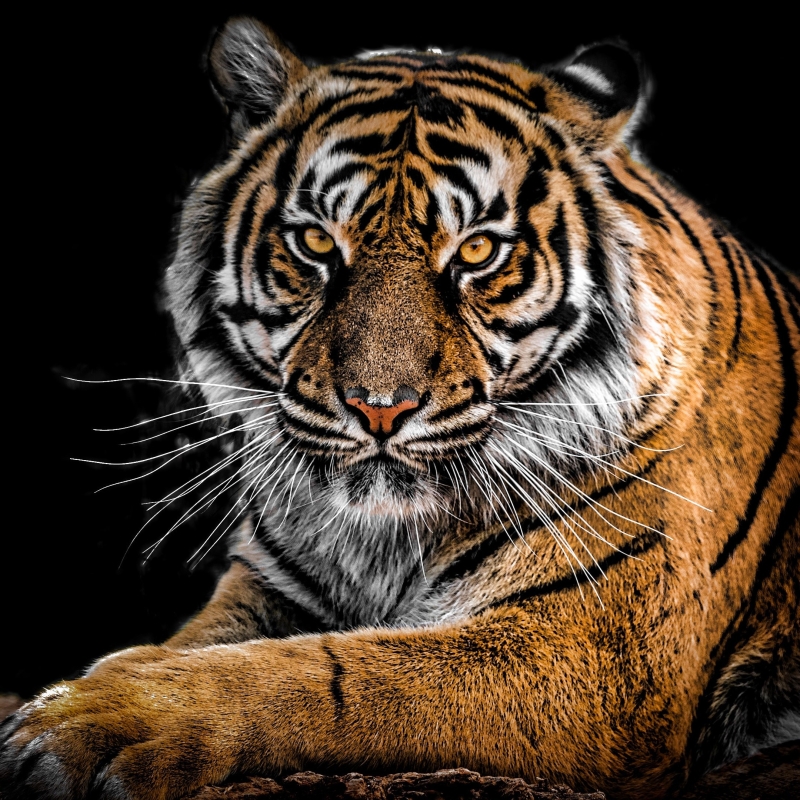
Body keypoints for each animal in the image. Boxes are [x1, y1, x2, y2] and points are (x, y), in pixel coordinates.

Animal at [1, 16, 798, 800]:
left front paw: (91, 721)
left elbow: (327, 675)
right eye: (315, 241)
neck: (382, 540)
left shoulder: (595, 656)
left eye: (476, 251)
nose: (379, 408)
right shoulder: (268, 586)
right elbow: (196, 645)